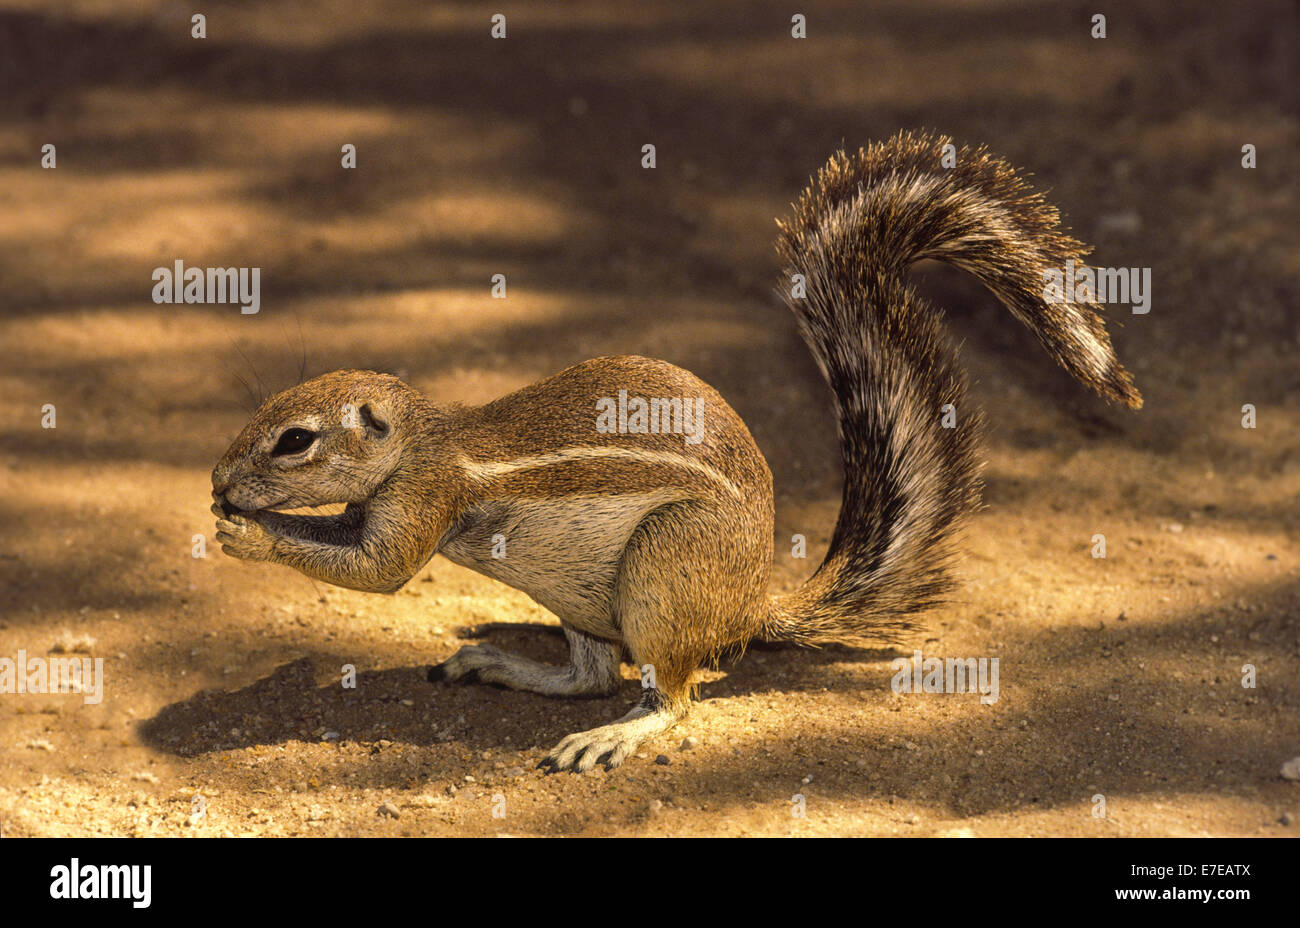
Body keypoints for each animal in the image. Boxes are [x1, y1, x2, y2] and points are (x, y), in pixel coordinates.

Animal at [211, 131, 1141, 773]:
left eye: (294, 441)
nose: (218, 481)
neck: (422, 436)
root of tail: (748, 608)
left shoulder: (423, 495)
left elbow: (378, 570)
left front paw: (246, 533)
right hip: (586, 596)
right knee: (594, 675)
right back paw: (504, 664)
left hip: (663, 567)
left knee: (674, 695)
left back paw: (613, 736)